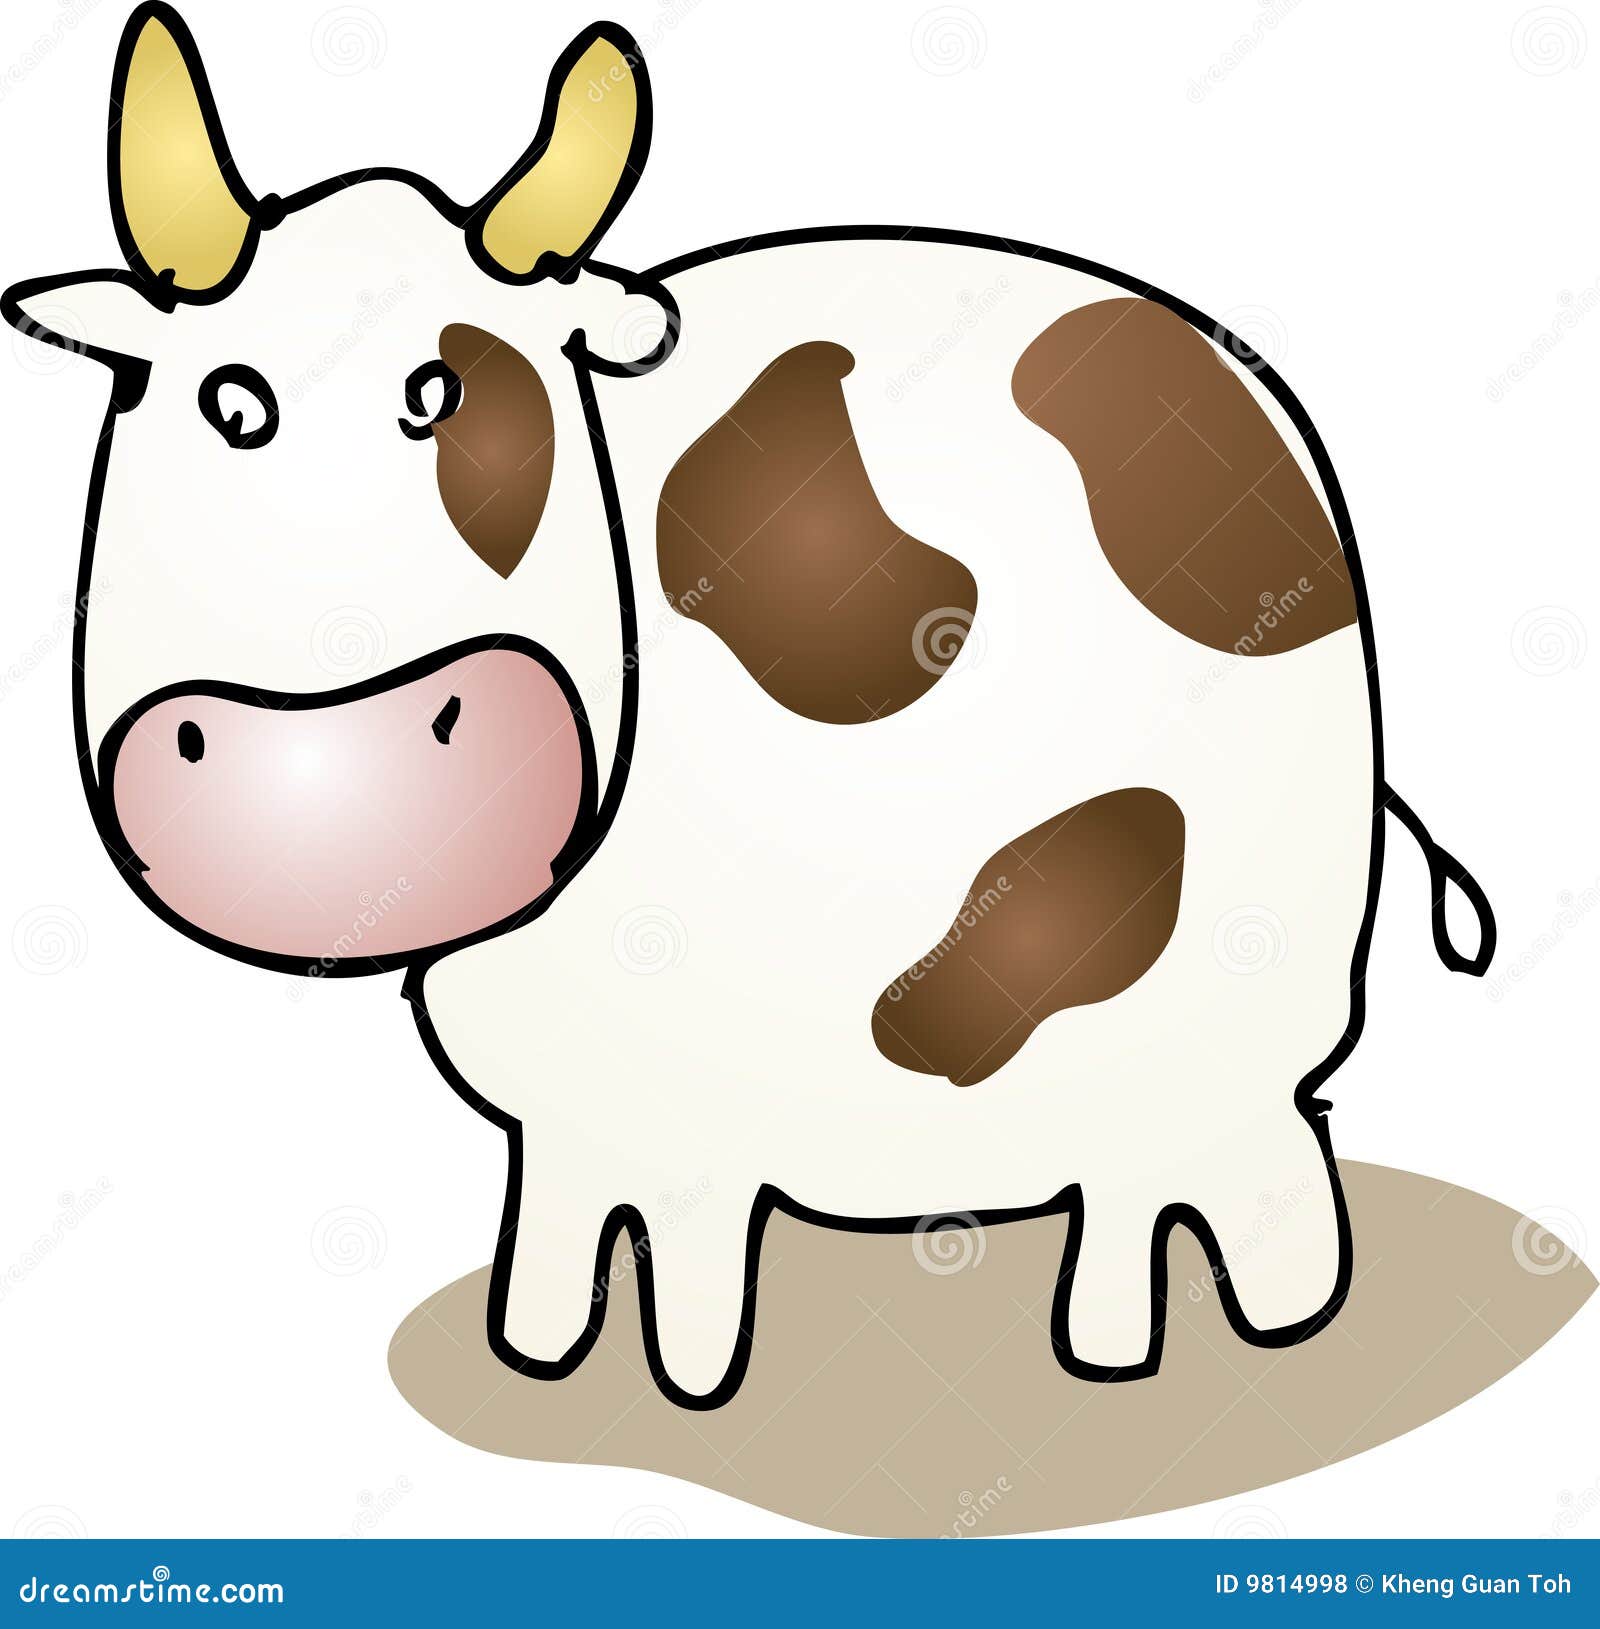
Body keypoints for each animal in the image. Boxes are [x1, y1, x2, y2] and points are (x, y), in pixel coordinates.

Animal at [6, 4, 1494, 1408]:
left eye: (447, 392)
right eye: (228, 401)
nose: (332, 751)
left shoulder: (693, 1136)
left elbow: (701, 1257)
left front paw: (687, 1379)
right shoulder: (577, 1114)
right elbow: (571, 1224)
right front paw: (543, 1348)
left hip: (1246, 1005)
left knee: (1214, 1160)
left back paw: (1194, 1333)